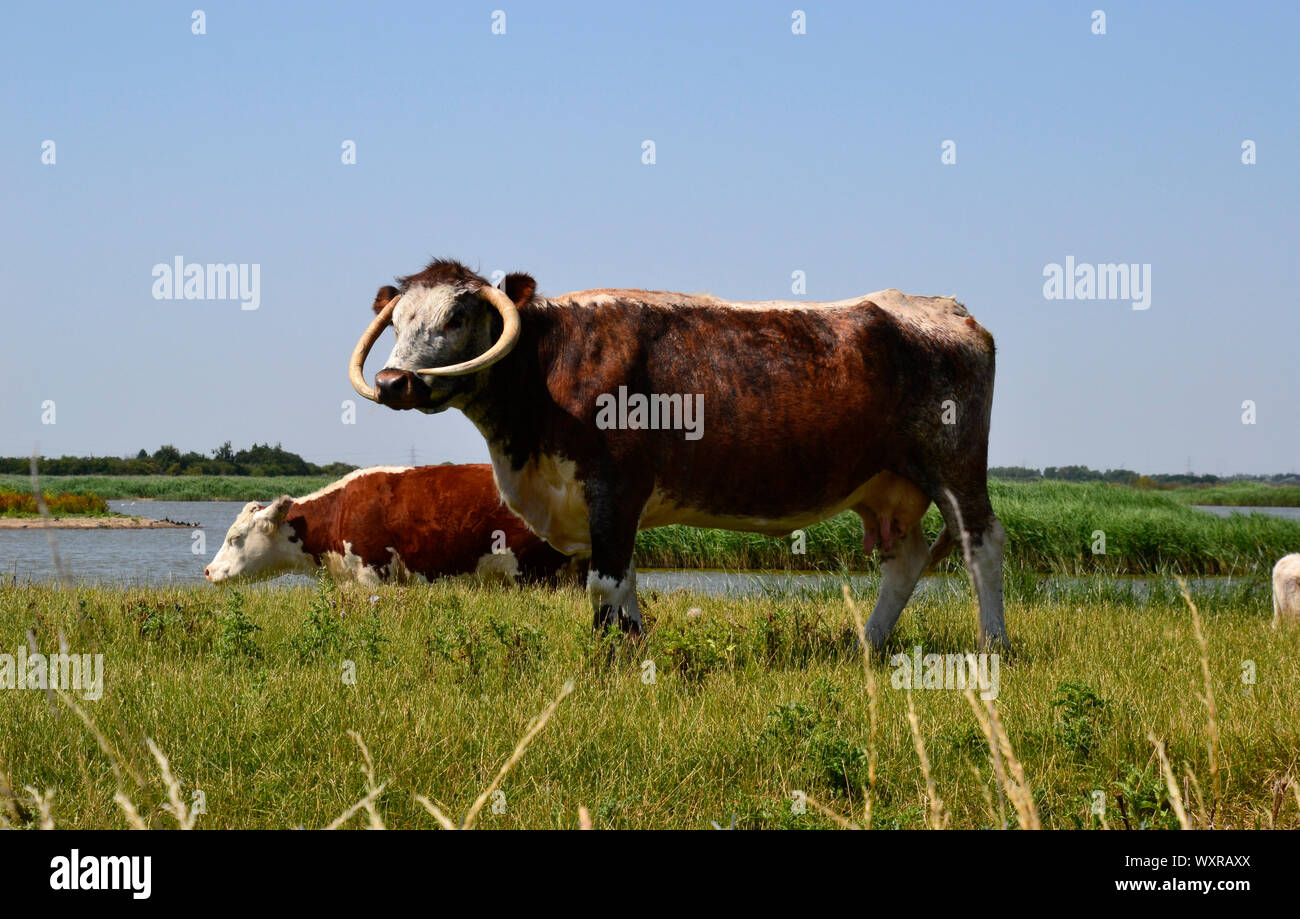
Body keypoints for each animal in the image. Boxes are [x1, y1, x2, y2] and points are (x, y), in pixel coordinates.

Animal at [348, 260, 1007, 649]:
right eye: (398, 320)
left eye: (458, 315)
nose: (392, 382)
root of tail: (945, 308)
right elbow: (624, 583)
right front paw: (632, 649)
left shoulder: (615, 484)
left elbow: (604, 583)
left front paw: (608, 664)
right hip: (888, 482)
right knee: (906, 558)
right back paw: (867, 646)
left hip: (955, 467)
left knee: (982, 545)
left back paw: (992, 647)